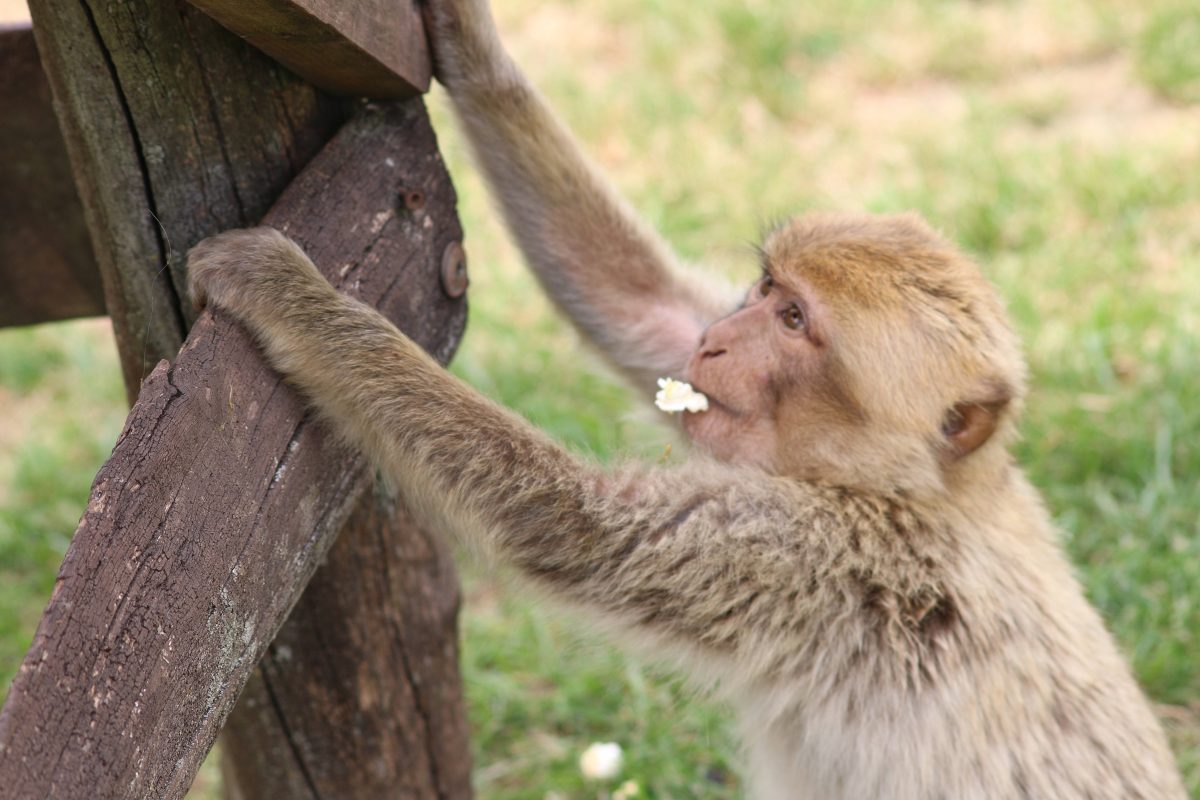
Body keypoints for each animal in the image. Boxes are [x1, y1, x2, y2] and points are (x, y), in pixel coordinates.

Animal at [185, 1, 1188, 797]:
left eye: (796, 321)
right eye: (764, 291)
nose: (720, 340)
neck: (925, 490)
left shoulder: (827, 559)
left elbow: (573, 523)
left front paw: (295, 299)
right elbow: (639, 302)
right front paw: (475, 48)